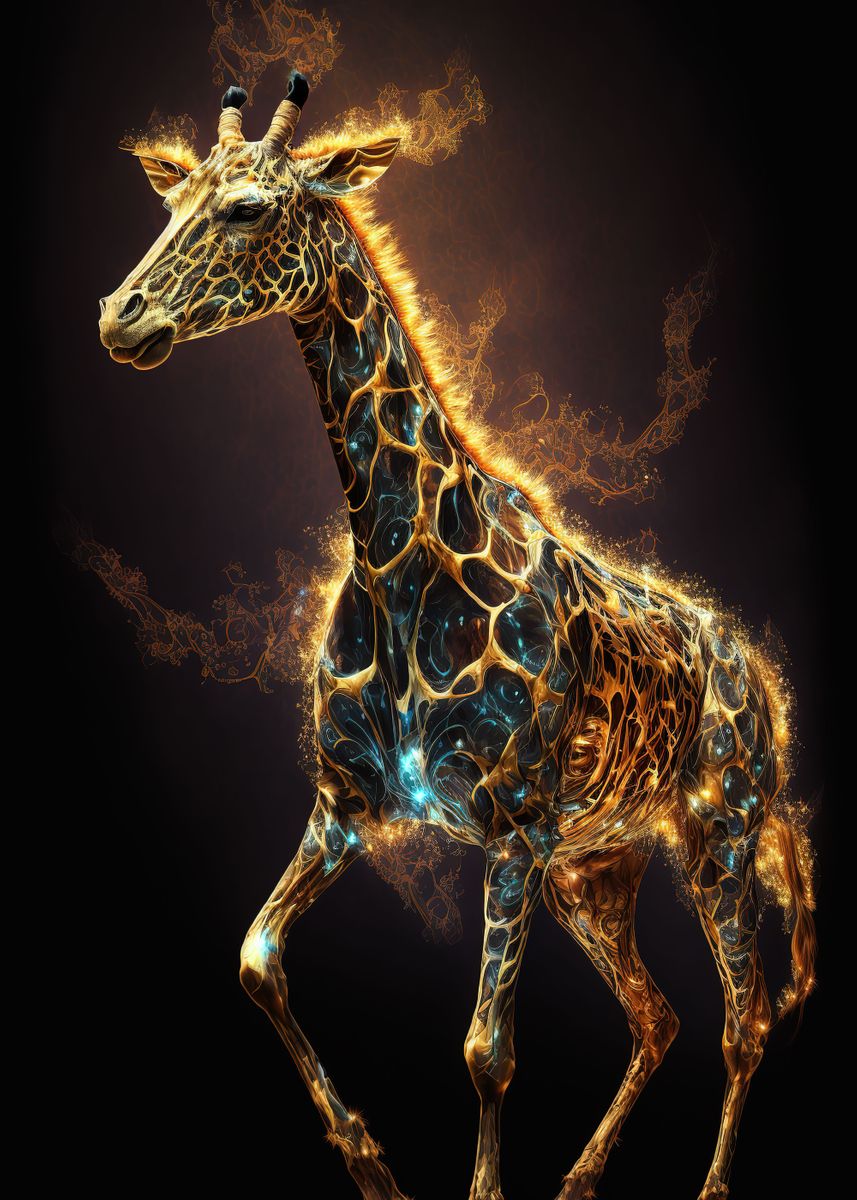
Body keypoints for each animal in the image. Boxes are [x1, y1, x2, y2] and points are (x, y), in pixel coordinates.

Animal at [97, 74, 817, 1200]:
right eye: (170, 204)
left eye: (250, 209)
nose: (118, 317)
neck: (392, 563)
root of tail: (761, 679)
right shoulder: (348, 804)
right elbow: (258, 960)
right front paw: (370, 1164)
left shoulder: (510, 827)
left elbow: (486, 1051)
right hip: (593, 871)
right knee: (656, 1017)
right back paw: (577, 1179)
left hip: (718, 836)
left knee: (741, 1022)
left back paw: (705, 1184)